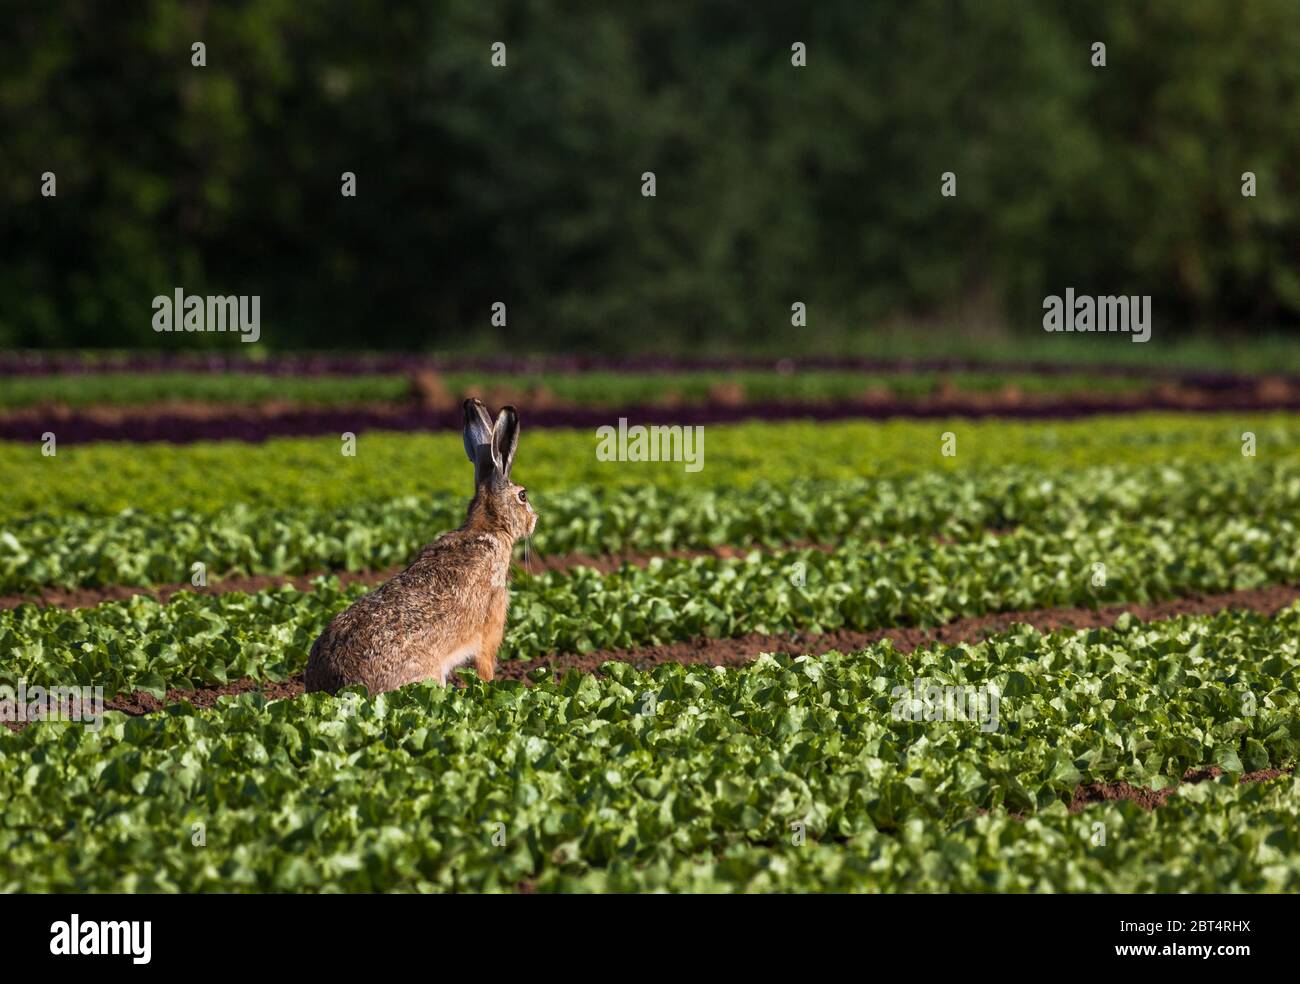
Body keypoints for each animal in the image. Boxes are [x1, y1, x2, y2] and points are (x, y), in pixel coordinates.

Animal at [304, 398, 537, 695]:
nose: (535, 520)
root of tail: (336, 686)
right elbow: (485, 664)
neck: (488, 527)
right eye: (523, 496)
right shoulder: (492, 621)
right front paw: (489, 686)